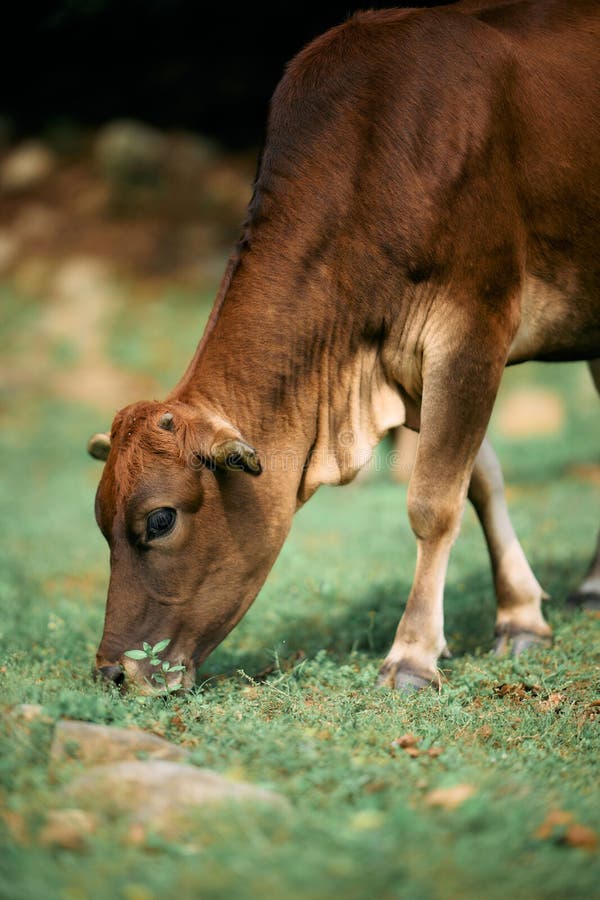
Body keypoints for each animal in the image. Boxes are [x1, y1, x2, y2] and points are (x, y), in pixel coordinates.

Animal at [88, 0, 599, 693]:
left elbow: (433, 501)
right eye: (100, 521)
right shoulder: (415, 365)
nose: (112, 672)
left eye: (160, 518)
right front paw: (520, 617)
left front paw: (412, 655)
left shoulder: (473, 326)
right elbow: (481, 480)